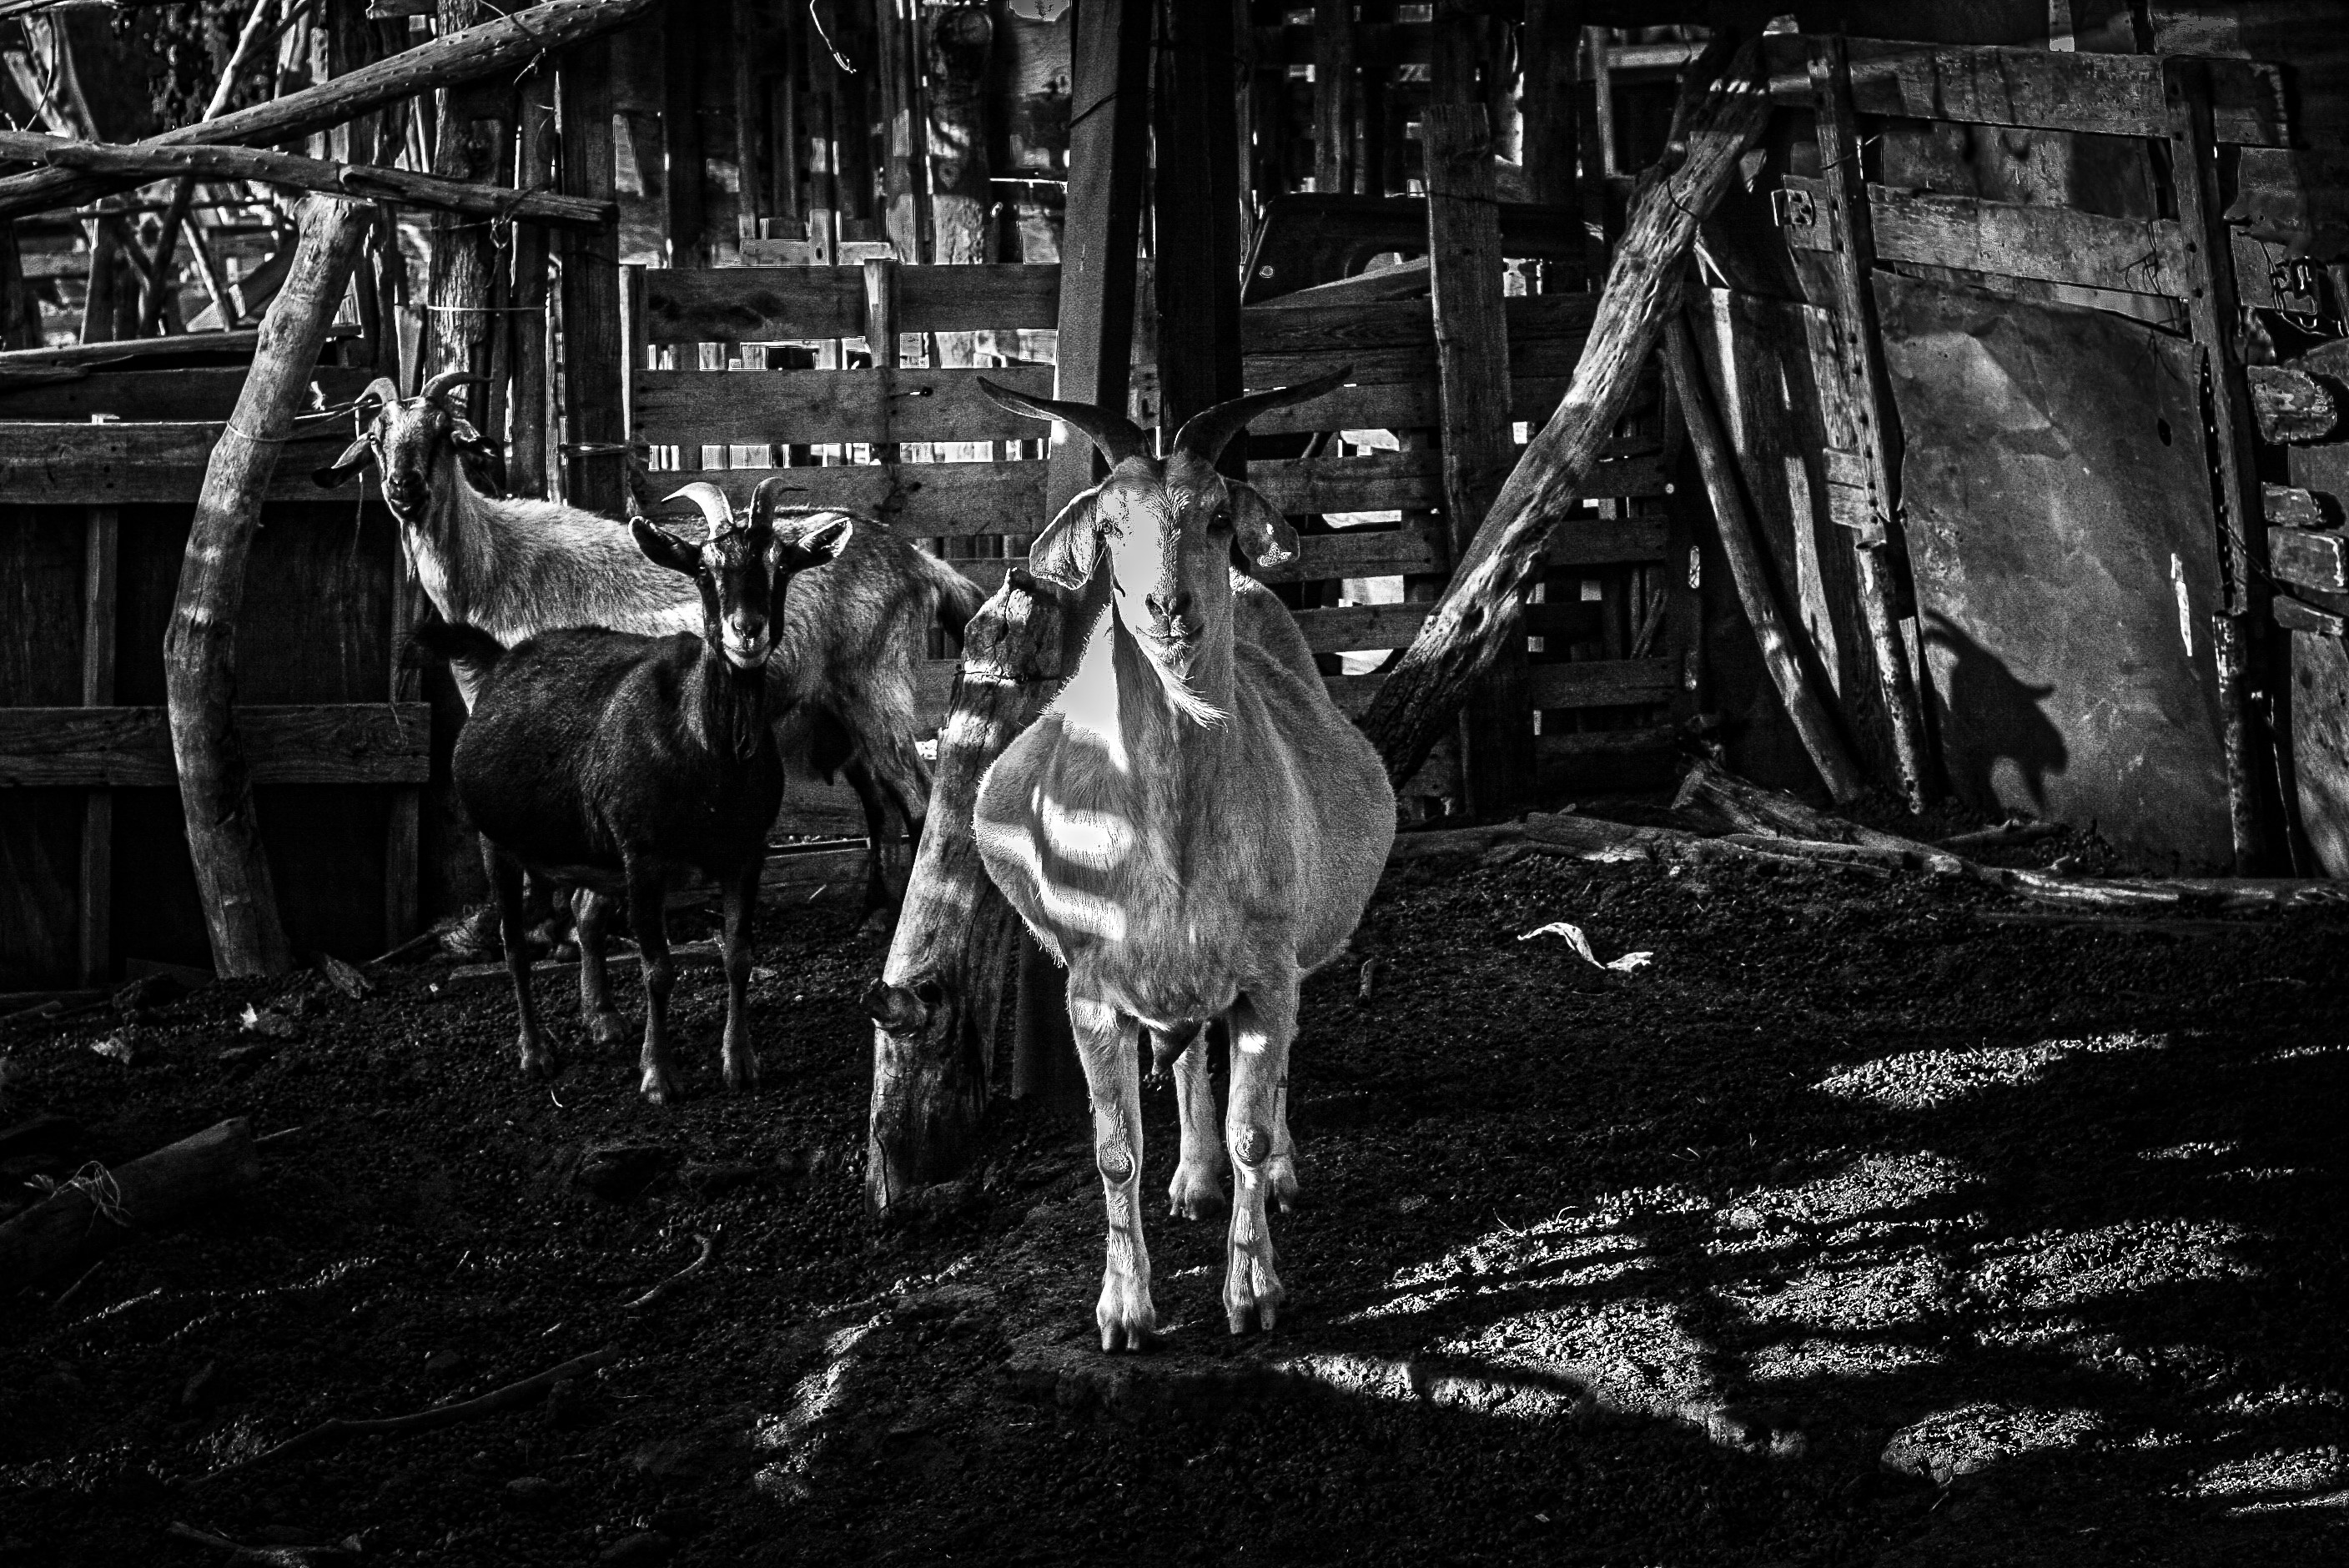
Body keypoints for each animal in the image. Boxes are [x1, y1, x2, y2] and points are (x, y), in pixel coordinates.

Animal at [316, 369, 985, 932]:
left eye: (440, 435)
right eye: (375, 435)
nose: (403, 489)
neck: (495, 566)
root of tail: (918, 559)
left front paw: (555, 928)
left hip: (878, 688)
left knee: (918, 800)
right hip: (836, 706)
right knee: (877, 800)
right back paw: (873, 910)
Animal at [426, 476, 851, 1103]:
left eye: (782, 563)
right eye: (704, 567)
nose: (746, 630)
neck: (709, 753)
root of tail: (503, 659)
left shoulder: (748, 852)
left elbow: (739, 955)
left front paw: (740, 1062)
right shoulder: (642, 855)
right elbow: (659, 968)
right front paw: (659, 1076)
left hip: (588, 852)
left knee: (583, 911)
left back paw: (602, 1018)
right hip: (495, 838)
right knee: (512, 940)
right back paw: (536, 1051)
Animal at [957, 368, 1394, 1349]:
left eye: (1218, 517)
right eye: (1111, 526)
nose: (1167, 609)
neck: (1171, 834)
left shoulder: (1267, 969)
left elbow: (1251, 1128)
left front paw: (1253, 1292)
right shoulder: (1092, 990)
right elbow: (1115, 1150)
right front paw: (1123, 1311)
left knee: (1264, 1069)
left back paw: (1272, 1176)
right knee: (1192, 1058)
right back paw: (1192, 1180)